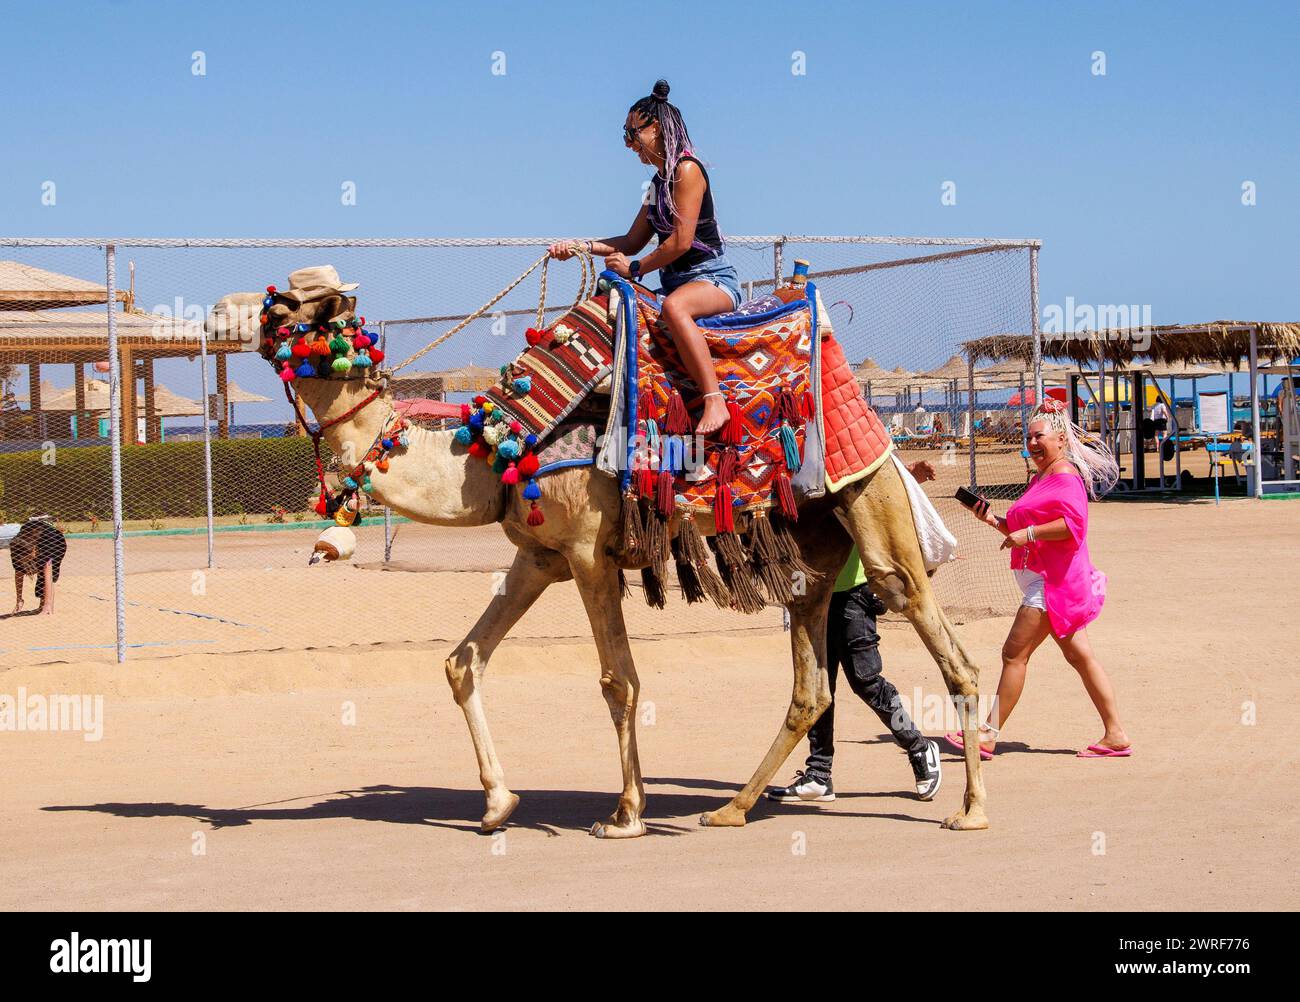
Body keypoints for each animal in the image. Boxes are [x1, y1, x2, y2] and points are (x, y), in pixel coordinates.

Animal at [206, 283, 989, 838]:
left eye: (283, 305)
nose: (211, 314)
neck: (492, 457)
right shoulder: (538, 558)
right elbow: (464, 661)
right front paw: (497, 804)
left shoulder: (588, 554)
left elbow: (619, 680)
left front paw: (625, 814)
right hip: (812, 552)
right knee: (810, 686)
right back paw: (732, 807)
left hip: (870, 505)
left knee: (947, 649)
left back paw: (969, 808)